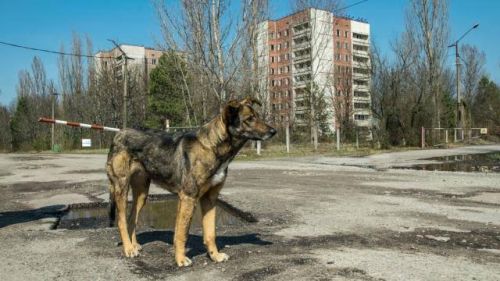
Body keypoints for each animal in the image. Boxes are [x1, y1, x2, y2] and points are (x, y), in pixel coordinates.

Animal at [106, 97, 278, 266]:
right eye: (249, 119)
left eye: (258, 116)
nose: (274, 131)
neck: (213, 146)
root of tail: (118, 134)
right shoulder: (188, 198)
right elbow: (181, 233)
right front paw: (180, 259)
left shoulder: (210, 199)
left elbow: (210, 233)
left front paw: (215, 256)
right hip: (121, 188)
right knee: (121, 220)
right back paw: (128, 249)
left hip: (142, 193)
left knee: (132, 219)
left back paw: (133, 245)